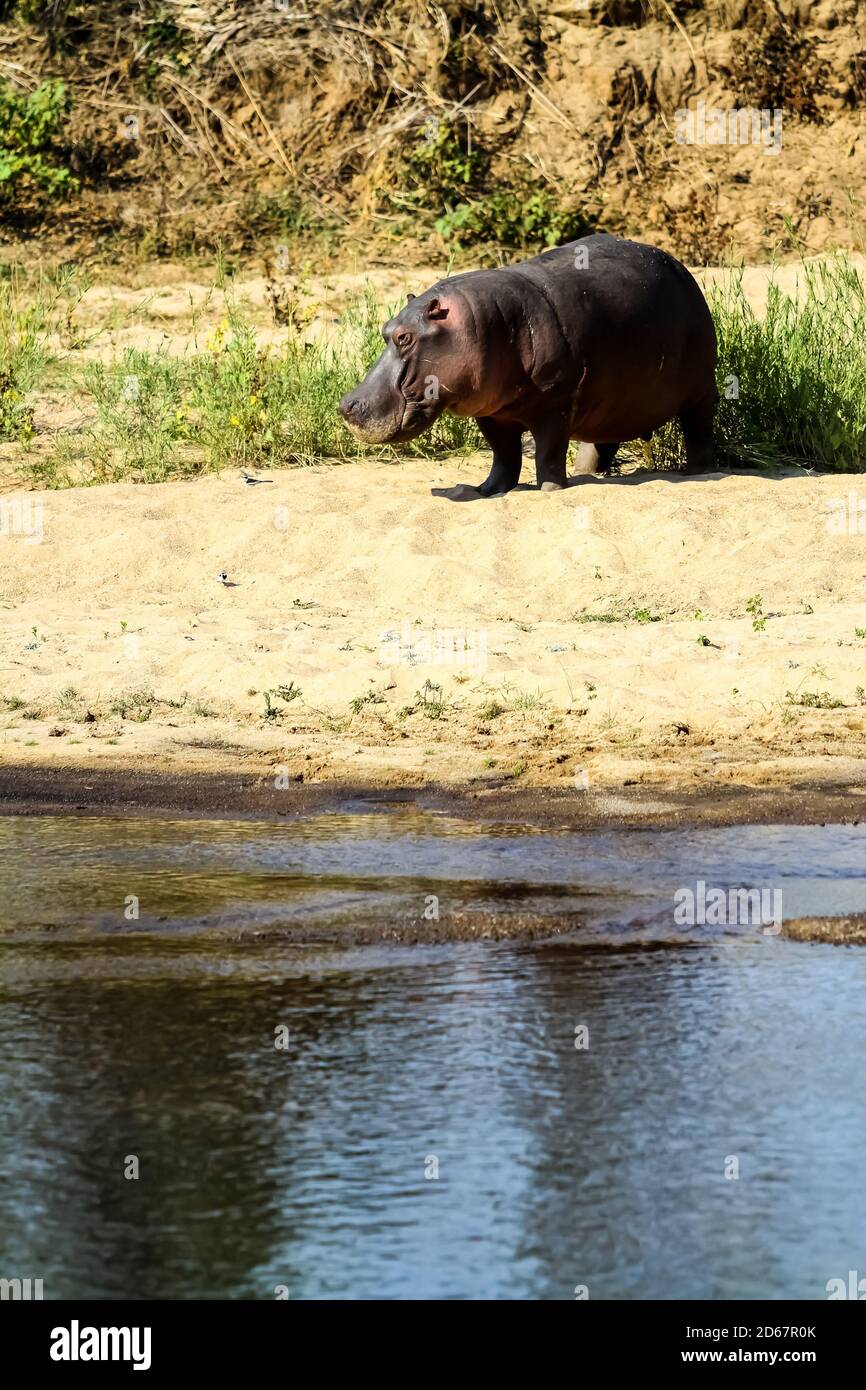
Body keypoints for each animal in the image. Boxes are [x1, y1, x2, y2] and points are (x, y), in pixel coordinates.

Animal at [339, 233, 718, 495]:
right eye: (386, 330)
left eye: (405, 337)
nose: (346, 405)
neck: (484, 324)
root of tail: (682, 269)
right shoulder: (490, 413)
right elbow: (504, 455)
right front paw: (486, 490)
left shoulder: (556, 406)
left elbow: (547, 452)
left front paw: (550, 489)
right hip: (613, 405)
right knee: (600, 442)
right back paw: (587, 473)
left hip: (701, 390)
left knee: (699, 429)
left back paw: (699, 471)